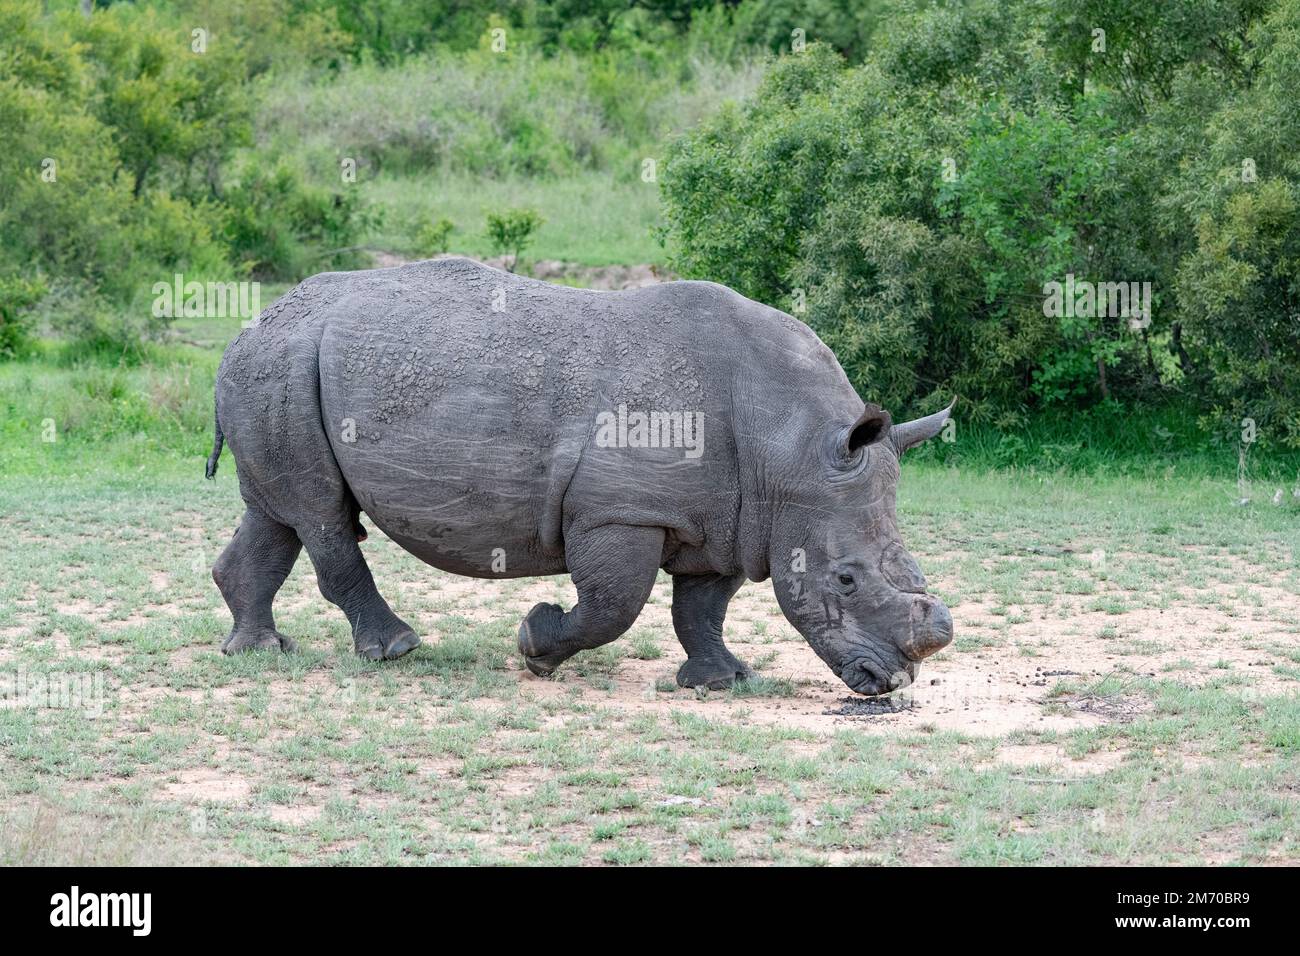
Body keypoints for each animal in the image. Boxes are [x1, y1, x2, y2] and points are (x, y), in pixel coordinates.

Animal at [207, 257, 953, 696]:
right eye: (845, 580)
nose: (892, 683)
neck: (789, 448)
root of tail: (247, 327)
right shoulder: (620, 510)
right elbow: (612, 606)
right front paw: (535, 645)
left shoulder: (731, 518)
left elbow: (701, 606)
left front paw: (721, 682)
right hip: (282, 362)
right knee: (321, 516)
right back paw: (394, 650)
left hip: (279, 368)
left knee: (278, 514)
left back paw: (257, 651)